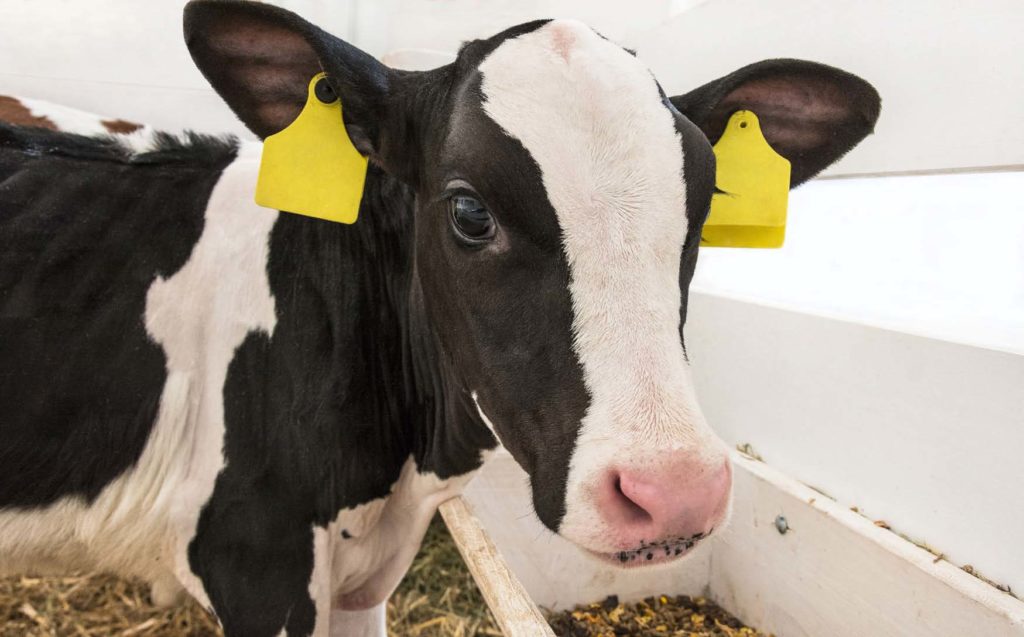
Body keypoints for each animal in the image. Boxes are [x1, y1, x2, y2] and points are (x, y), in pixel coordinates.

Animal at [0, 1, 880, 635]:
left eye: (701, 204)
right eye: (468, 211)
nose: (675, 495)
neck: (403, 456)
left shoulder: (360, 579)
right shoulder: (255, 557)